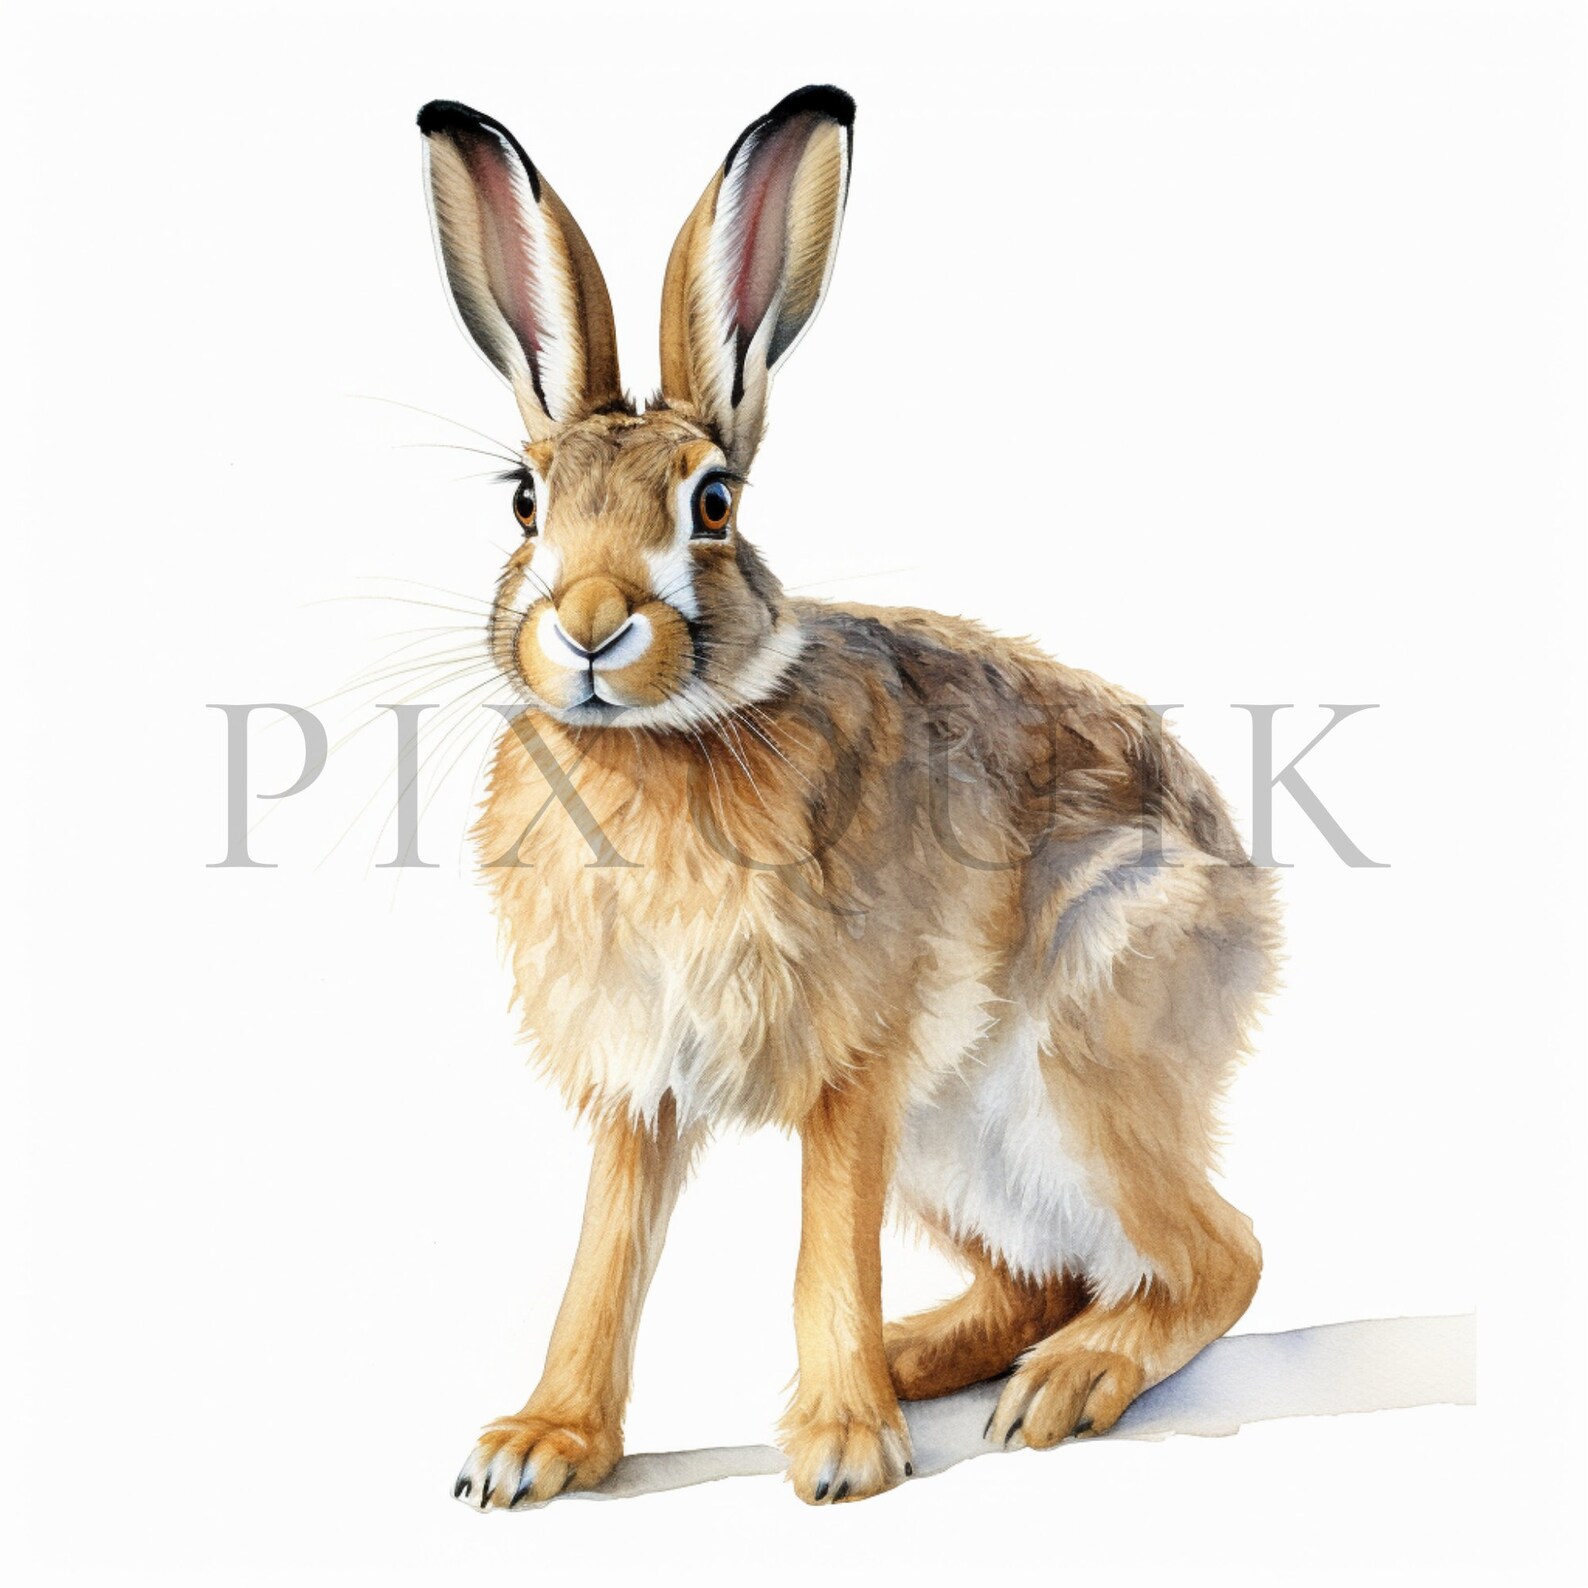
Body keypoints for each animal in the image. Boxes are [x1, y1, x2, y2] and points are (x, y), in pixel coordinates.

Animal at [419, 85, 1281, 1509]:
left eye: (713, 503)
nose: (592, 625)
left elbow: (825, 1243)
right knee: (1047, 1274)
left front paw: (839, 1453)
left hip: (1075, 1071)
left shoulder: (856, 1067)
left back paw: (1057, 1383)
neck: (665, 745)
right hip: (957, 1144)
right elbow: (605, 1251)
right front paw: (538, 1448)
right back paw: (922, 1354)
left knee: (1216, 1255)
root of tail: (1251, 913)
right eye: (526, 500)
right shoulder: (639, 1080)